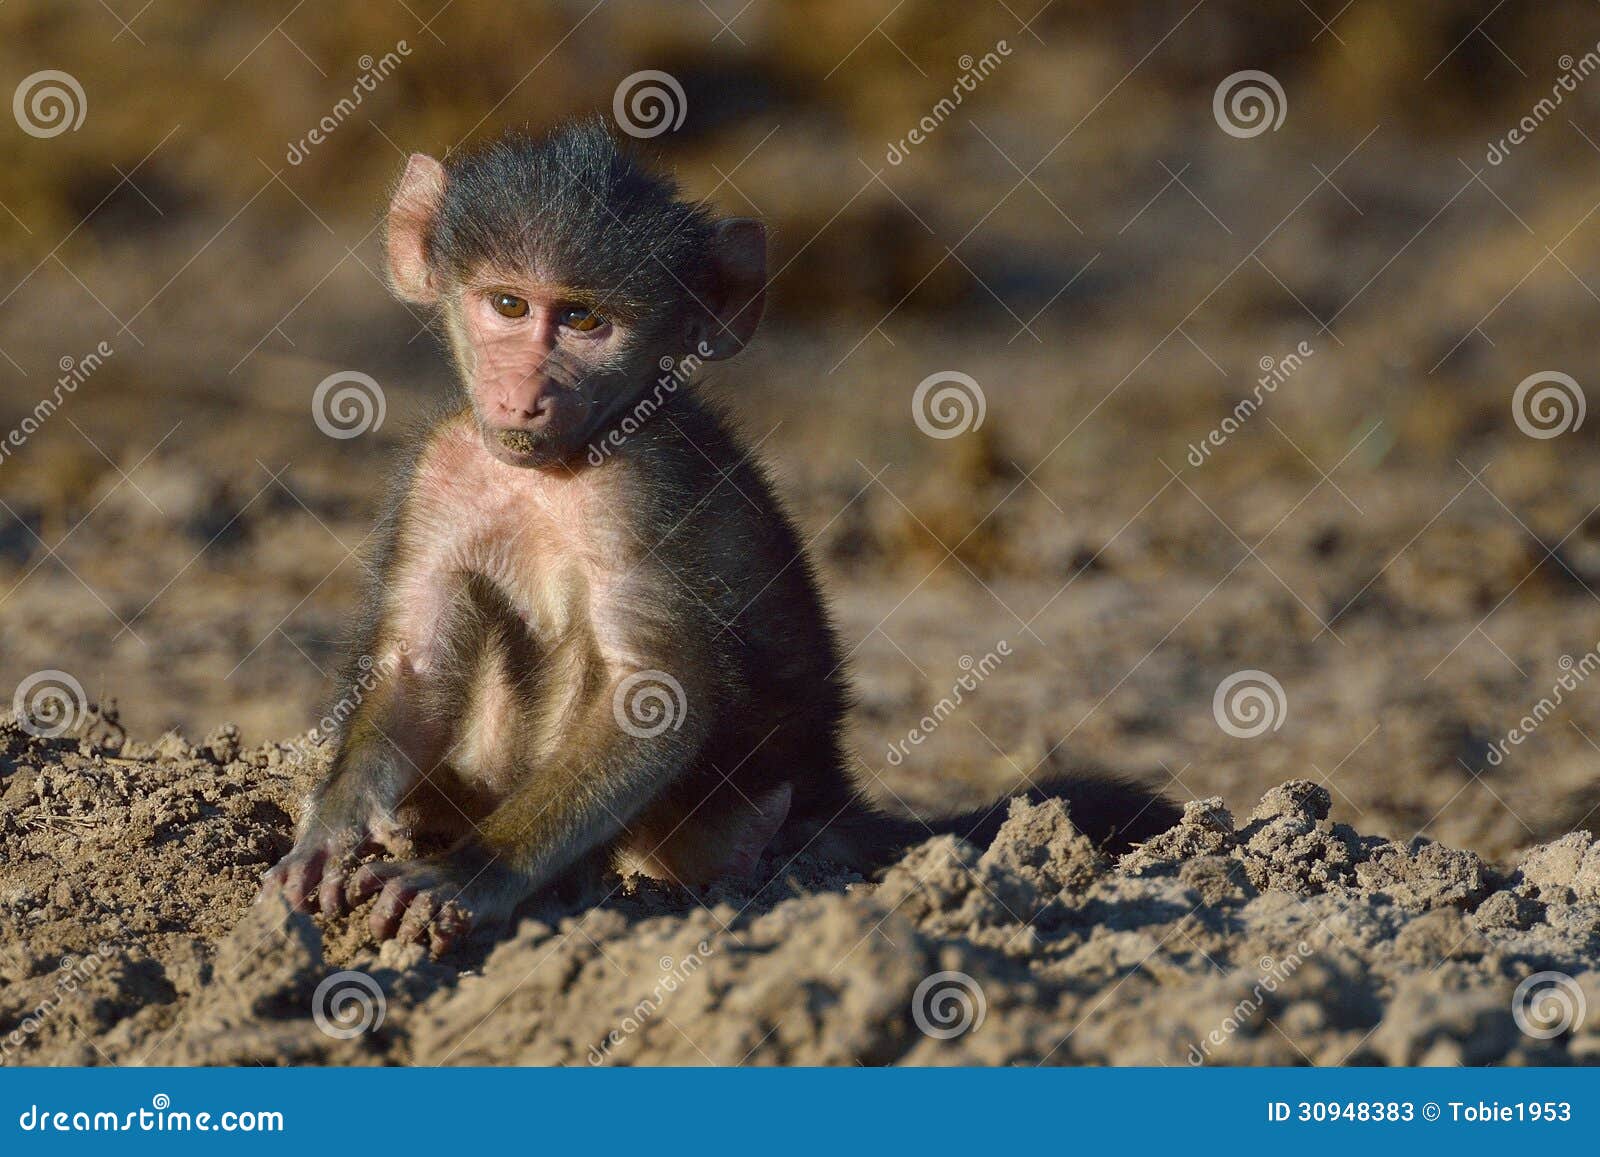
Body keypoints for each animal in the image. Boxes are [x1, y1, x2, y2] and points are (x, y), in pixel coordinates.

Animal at [259, 117, 1179, 952]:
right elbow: (414, 660)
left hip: (729, 819)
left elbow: (654, 692)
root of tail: (827, 789)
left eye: (584, 320)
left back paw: (572, 884)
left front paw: (469, 874)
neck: (554, 468)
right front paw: (328, 838)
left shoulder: (642, 491)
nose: (523, 397)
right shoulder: (444, 469)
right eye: (509, 305)